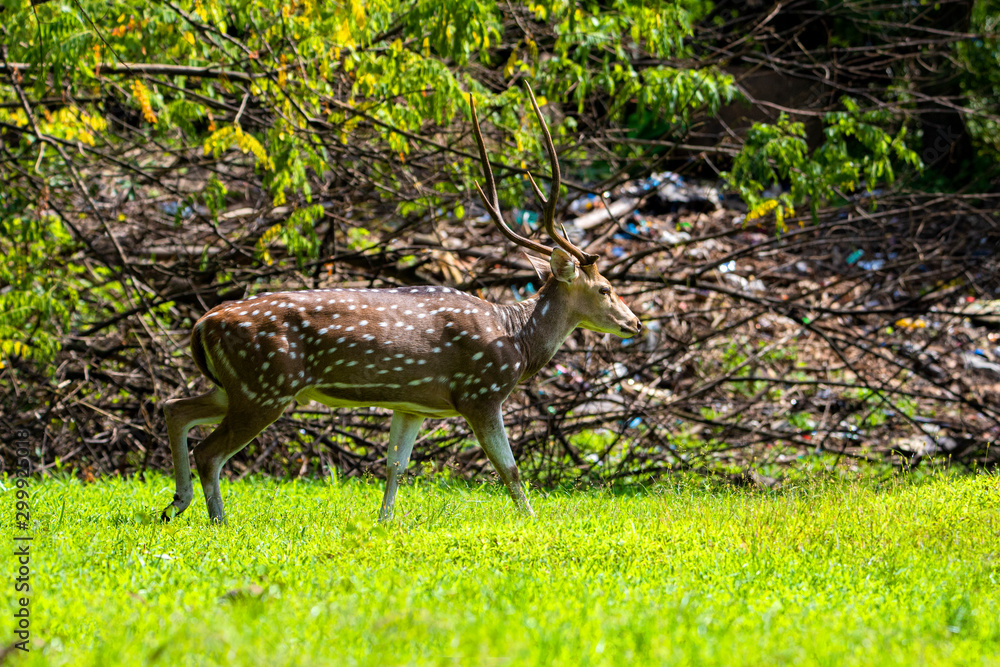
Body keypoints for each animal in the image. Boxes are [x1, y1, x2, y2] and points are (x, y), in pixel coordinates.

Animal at [160, 85, 642, 525]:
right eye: (605, 288)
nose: (635, 323)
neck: (518, 343)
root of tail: (201, 325)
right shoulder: (480, 393)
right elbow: (510, 469)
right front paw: (532, 522)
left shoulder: (413, 404)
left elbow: (396, 464)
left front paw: (384, 521)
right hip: (265, 385)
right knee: (208, 451)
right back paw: (218, 520)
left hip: (235, 385)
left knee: (175, 407)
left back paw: (175, 505)